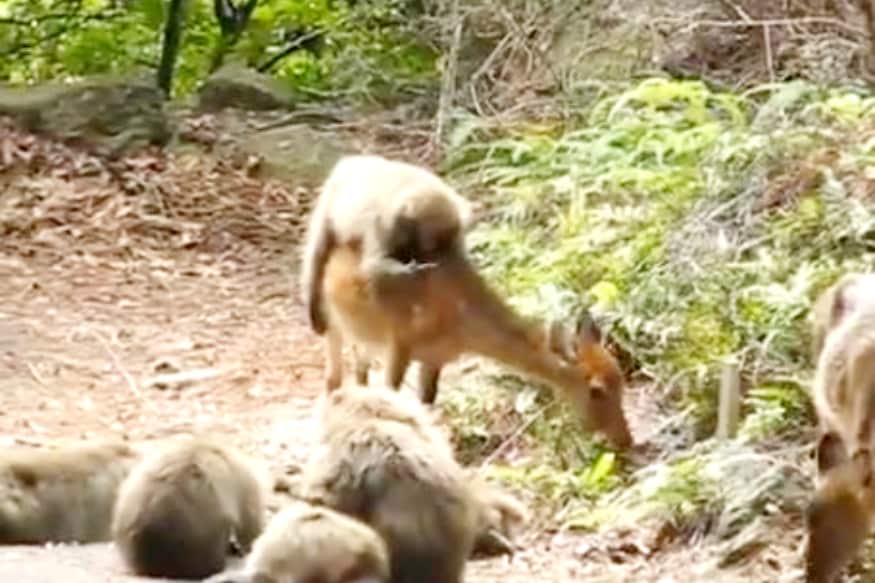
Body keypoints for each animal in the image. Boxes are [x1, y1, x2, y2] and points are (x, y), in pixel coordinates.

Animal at [299, 154, 474, 341]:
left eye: (448, 242)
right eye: (437, 244)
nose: (445, 253)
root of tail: (350, 162)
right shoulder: (385, 223)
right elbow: (373, 266)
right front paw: (412, 272)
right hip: (331, 198)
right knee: (319, 250)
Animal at [318, 243, 633, 449]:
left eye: (621, 380)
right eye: (596, 390)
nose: (626, 439)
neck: (464, 325)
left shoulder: (435, 358)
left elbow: (425, 402)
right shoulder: (400, 342)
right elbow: (392, 395)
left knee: (358, 370)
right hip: (332, 321)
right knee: (333, 370)